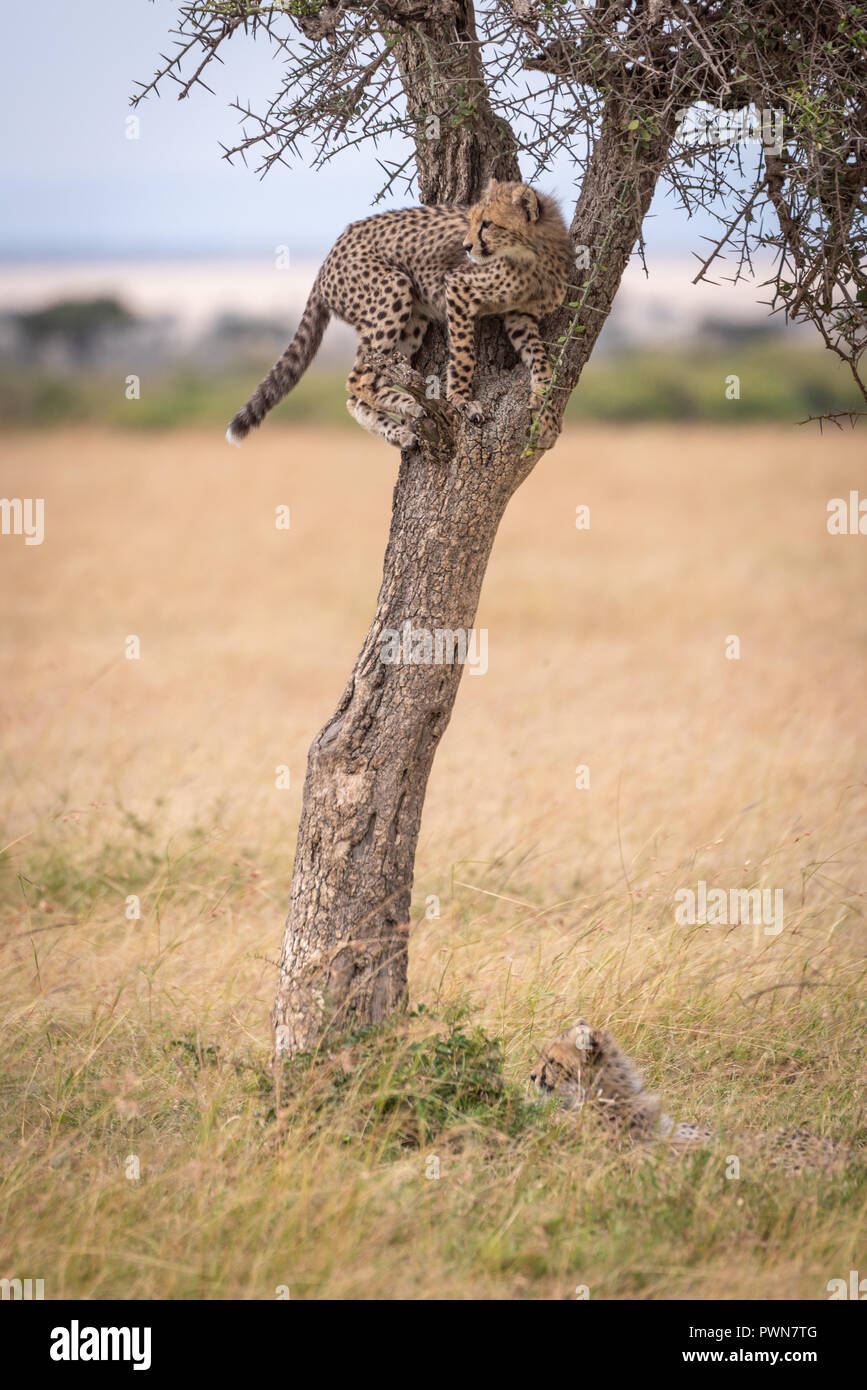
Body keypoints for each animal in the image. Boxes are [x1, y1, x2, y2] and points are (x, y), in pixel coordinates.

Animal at [225, 178, 574, 452]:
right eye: (473, 220)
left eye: (488, 223)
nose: (467, 246)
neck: (532, 256)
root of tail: (327, 258)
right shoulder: (458, 288)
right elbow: (463, 355)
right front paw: (462, 400)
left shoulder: (519, 316)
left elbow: (542, 362)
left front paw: (545, 417)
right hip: (394, 288)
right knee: (357, 380)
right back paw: (411, 404)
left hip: (412, 322)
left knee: (357, 395)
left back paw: (401, 430)